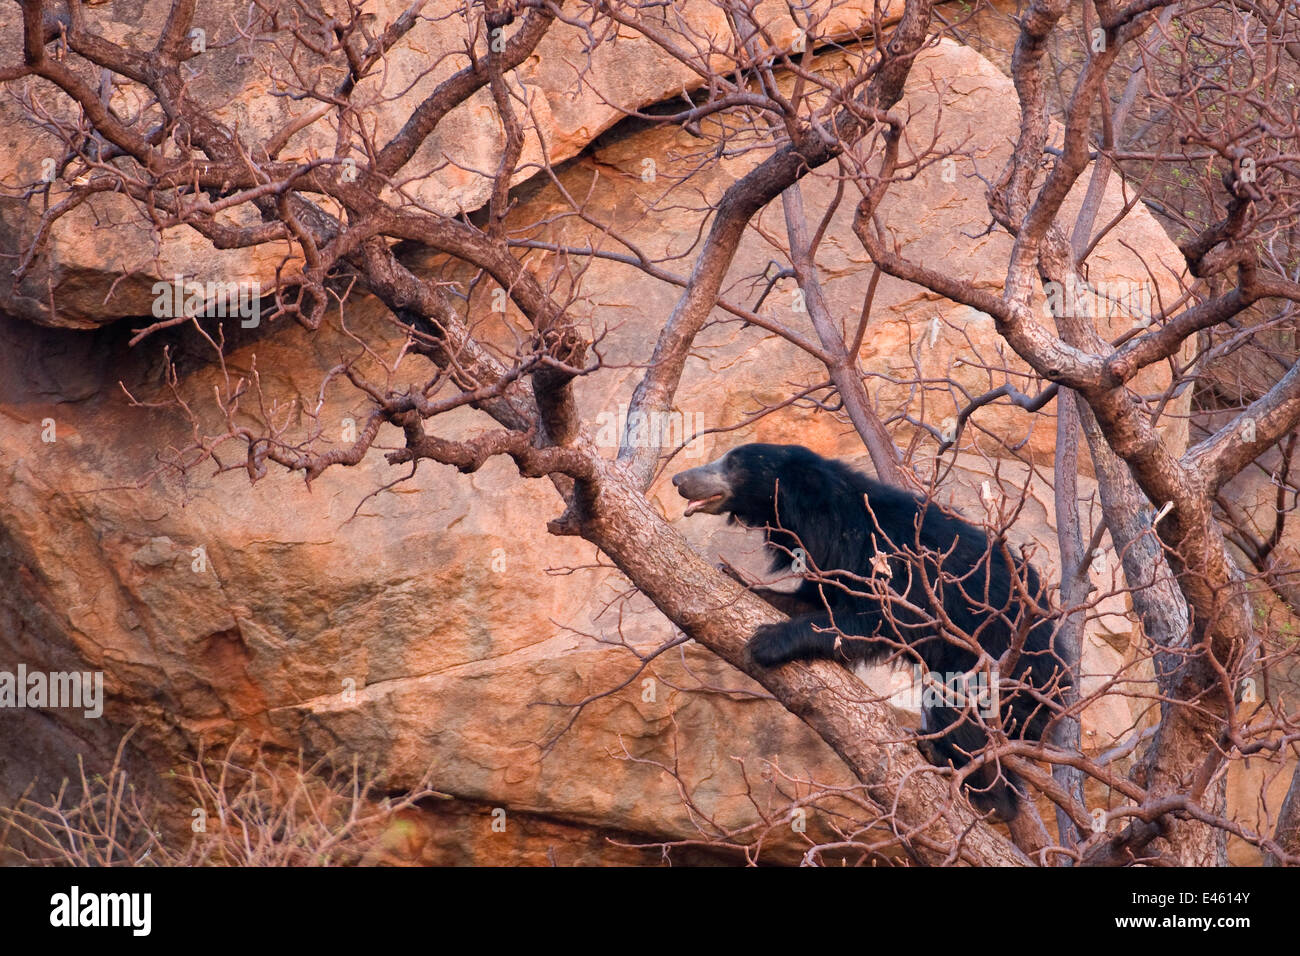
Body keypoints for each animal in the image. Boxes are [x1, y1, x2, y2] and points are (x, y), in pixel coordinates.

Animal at [673, 442, 1069, 821]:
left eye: (733, 462)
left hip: (1006, 661)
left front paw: (768, 641)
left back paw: (969, 778)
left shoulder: (892, 563)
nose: (680, 479)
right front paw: (736, 577)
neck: (822, 519)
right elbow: (810, 602)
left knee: (962, 702)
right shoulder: (828, 562)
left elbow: (875, 618)